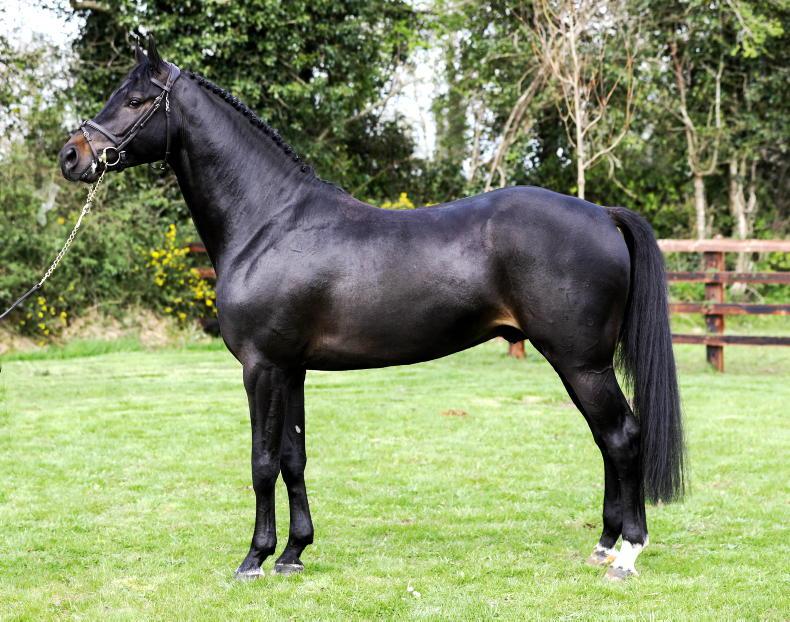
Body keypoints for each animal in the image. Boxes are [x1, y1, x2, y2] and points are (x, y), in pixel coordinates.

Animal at [58, 37, 684, 581]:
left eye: (134, 99)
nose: (71, 155)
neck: (268, 223)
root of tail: (602, 213)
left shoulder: (261, 367)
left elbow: (262, 462)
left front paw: (254, 559)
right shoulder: (291, 369)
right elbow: (293, 458)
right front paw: (294, 553)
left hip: (581, 363)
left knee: (622, 436)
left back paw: (628, 554)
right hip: (579, 364)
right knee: (606, 440)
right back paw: (604, 545)